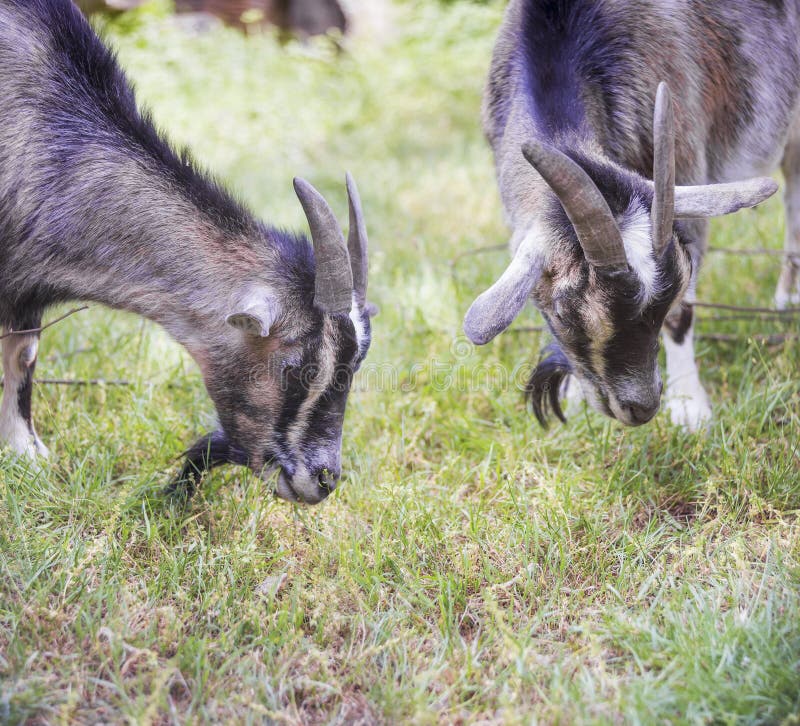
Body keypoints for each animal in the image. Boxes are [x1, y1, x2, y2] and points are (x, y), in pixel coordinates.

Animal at [464, 0, 795, 431]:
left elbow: (683, 314)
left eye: (671, 294)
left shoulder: (686, 166)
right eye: (562, 315)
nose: (641, 409)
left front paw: (689, 406)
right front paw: (573, 397)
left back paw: (787, 296)